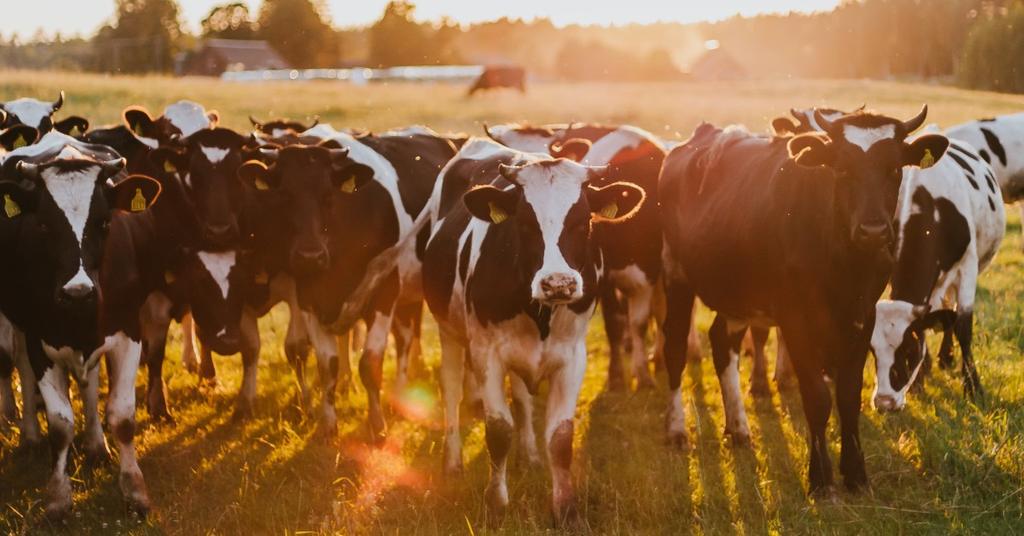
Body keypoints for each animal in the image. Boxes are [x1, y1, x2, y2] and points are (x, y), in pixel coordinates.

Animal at [0, 131, 162, 517]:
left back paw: (95, 445)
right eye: (43, 224)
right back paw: (30, 436)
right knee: (23, 370)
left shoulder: (128, 333)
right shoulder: (39, 337)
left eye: (104, 222)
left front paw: (135, 491)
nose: (78, 293)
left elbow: (122, 416)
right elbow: (60, 424)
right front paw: (58, 497)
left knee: (89, 385)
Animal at [423, 138, 645, 524]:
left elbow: (560, 436)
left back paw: (529, 456)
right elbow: (498, 430)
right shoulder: (486, 353)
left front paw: (566, 508)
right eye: (525, 222)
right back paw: (452, 463)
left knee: (523, 400)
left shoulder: (572, 356)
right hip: (448, 331)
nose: (558, 283)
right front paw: (496, 504)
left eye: (583, 220)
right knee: (450, 389)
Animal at [484, 122, 703, 390]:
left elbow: (641, 322)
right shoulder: (604, 277)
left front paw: (643, 374)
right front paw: (617, 376)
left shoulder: (649, 272)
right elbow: (615, 323)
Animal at [658, 107, 949, 495]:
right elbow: (817, 396)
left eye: (894, 169)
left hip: (738, 293)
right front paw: (821, 477)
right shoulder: (795, 317)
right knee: (675, 347)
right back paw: (676, 428)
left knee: (722, 343)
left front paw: (856, 473)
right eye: (841, 169)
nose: (872, 230)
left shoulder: (862, 316)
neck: (844, 261)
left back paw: (738, 427)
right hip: (675, 273)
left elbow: (848, 395)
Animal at [871, 136, 1005, 410]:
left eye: (908, 350)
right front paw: (919, 381)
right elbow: (928, 321)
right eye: (872, 353)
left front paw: (973, 387)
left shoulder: (968, 267)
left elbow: (963, 326)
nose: (885, 402)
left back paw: (947, 357)